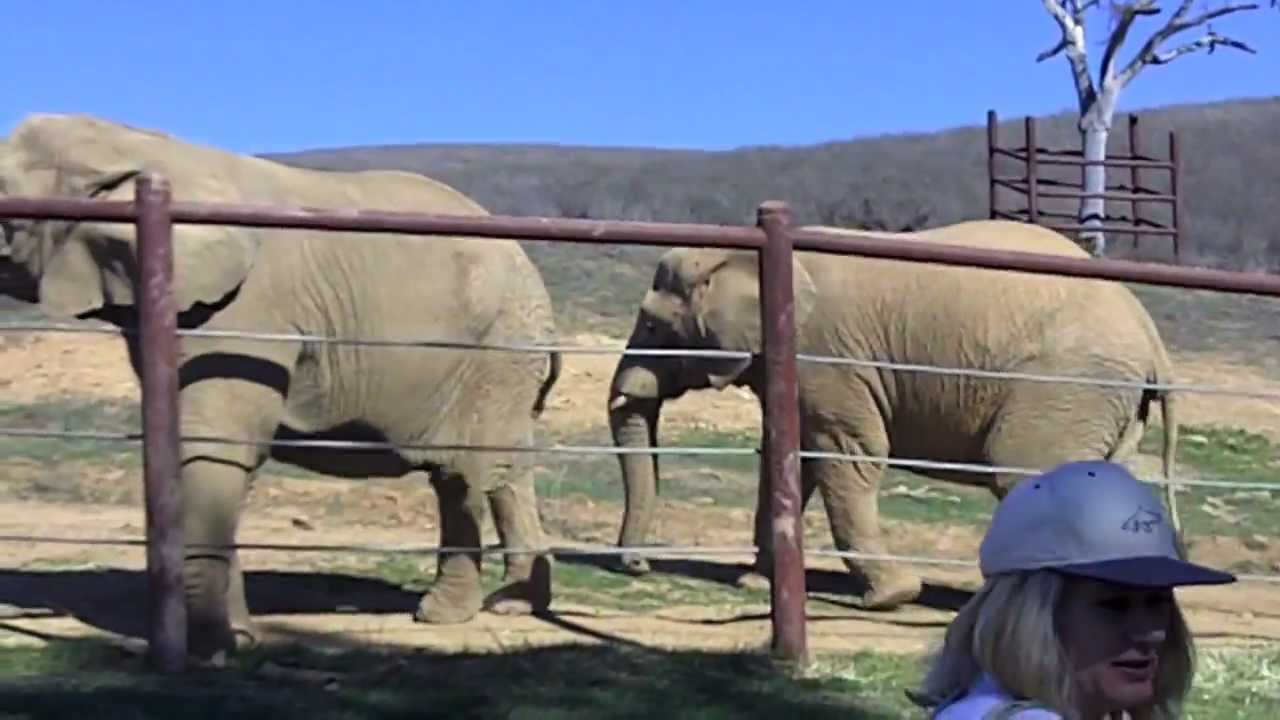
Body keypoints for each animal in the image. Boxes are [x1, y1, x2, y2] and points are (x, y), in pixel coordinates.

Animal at [0, 113, 563, 662]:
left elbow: (219, 449)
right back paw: (491, 608)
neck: (131, 141)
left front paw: (217, 645)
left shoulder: (242, 311)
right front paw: (235, 640)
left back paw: (468, 612)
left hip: (498, 351)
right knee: (484, 474)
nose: (230, 645)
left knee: (471, 472)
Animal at [606, 218, 1180, 610]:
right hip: (1106, 399)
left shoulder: (827, 356)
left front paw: (892, 598)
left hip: (1066, 384)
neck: (737, 253)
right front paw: (754, 583)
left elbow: (848, 455)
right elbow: (789, 457)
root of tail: (1150, 331)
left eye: (653, 325)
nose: (640, 566)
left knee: (1020, 472)